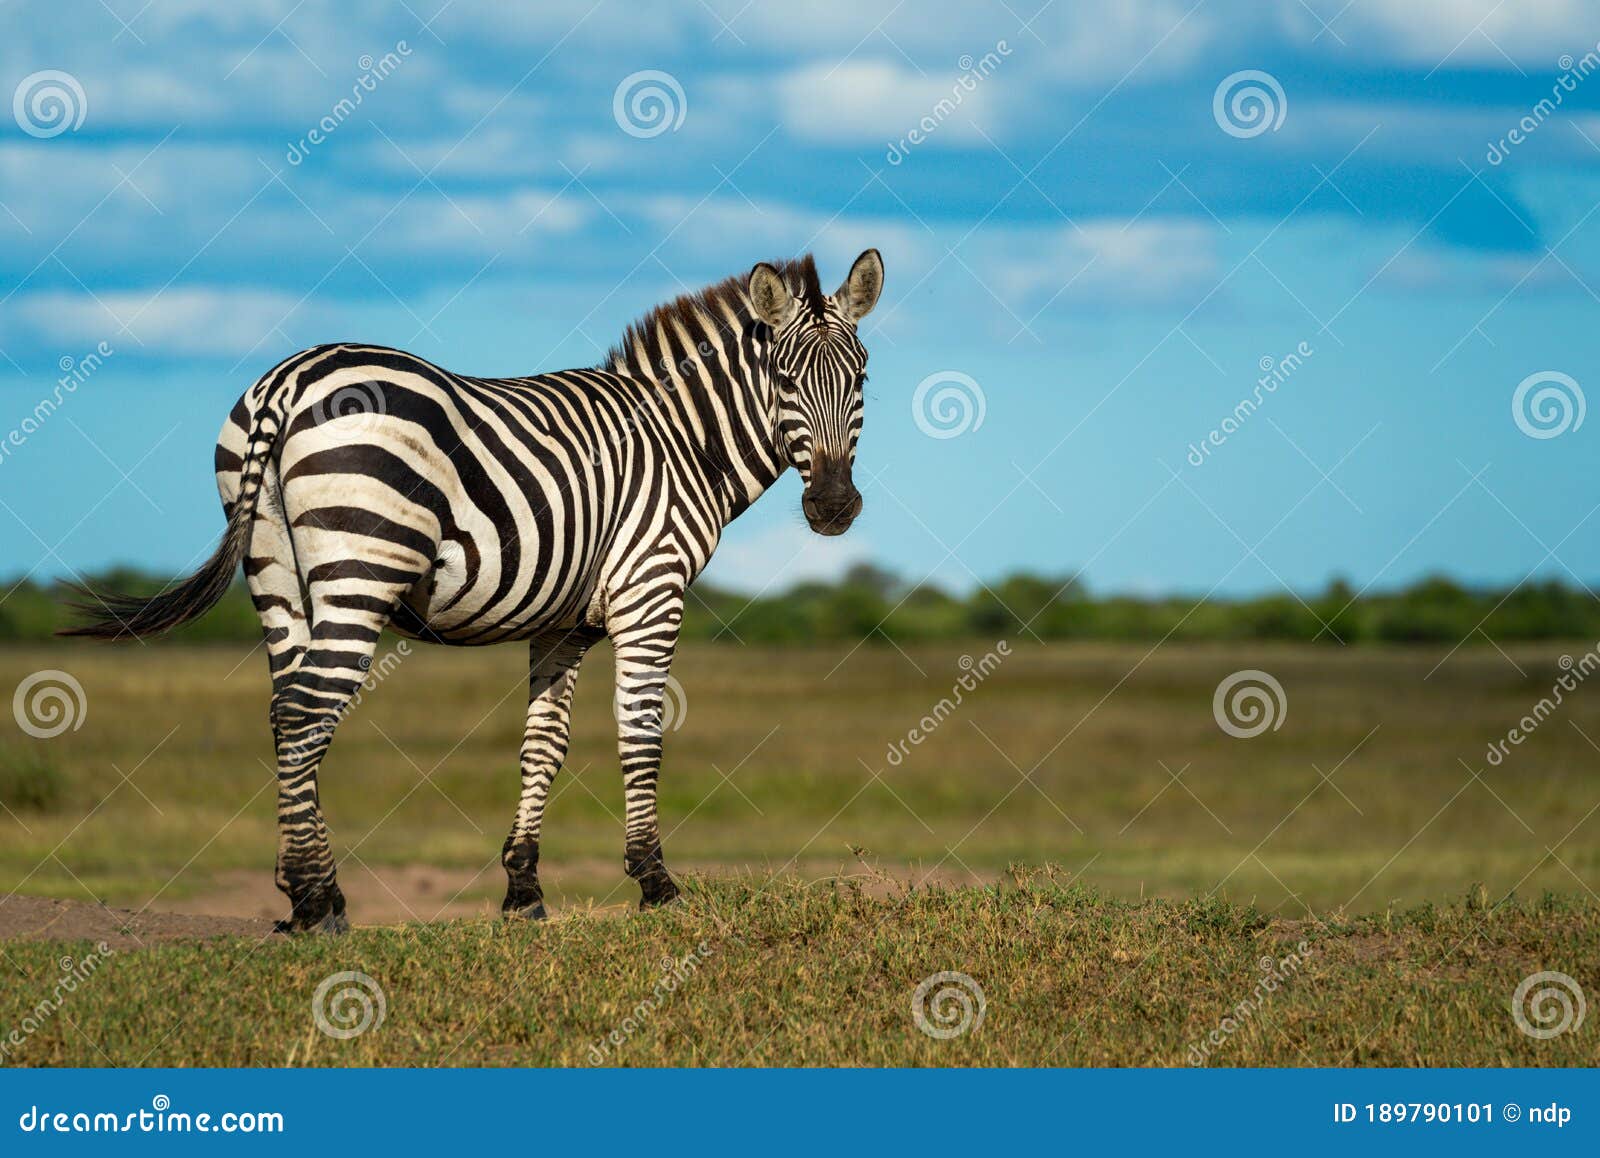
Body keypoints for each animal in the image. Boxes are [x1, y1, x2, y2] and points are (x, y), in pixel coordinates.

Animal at [63, 250, 884, 933]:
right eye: (785, 381)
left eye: (862, 380)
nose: (834, 508)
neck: (681, 442)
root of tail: (289, 378)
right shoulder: (651, 591)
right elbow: (641, 735)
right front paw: (657, 886)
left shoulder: (564, 623)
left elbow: (543, 746)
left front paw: (523, 894)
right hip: (361, 567)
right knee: (307, 711)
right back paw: (314, 902)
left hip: (275, 574)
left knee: (285, 712)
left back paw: (316, 893)